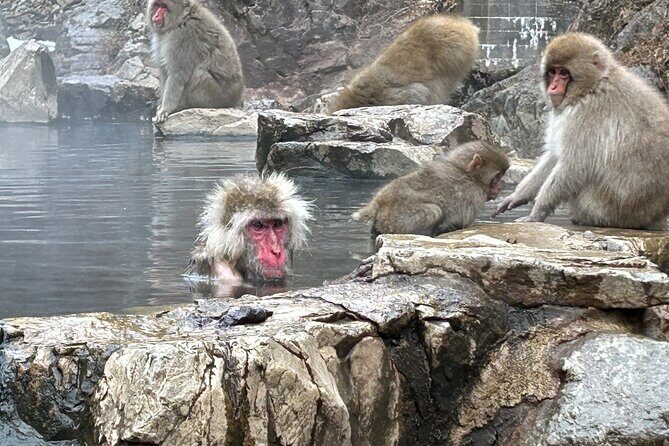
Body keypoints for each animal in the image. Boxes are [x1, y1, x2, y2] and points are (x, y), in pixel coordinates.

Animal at [352, 141, 509, 237]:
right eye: (497, 177)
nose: (500, 187)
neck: (465, 173)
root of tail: (378, 203)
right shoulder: (473, 196)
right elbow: (458, 221)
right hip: (395, 221)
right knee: (434, 211)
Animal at [492, 32, 669, 230]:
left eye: (563, 73)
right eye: (552, 72)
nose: (552, 87)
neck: (591, 86)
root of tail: (655, 215)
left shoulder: (586, 114)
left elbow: (573, 165)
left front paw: (536, 213)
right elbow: (554, 155)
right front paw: (516, 197)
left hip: (607, 210)